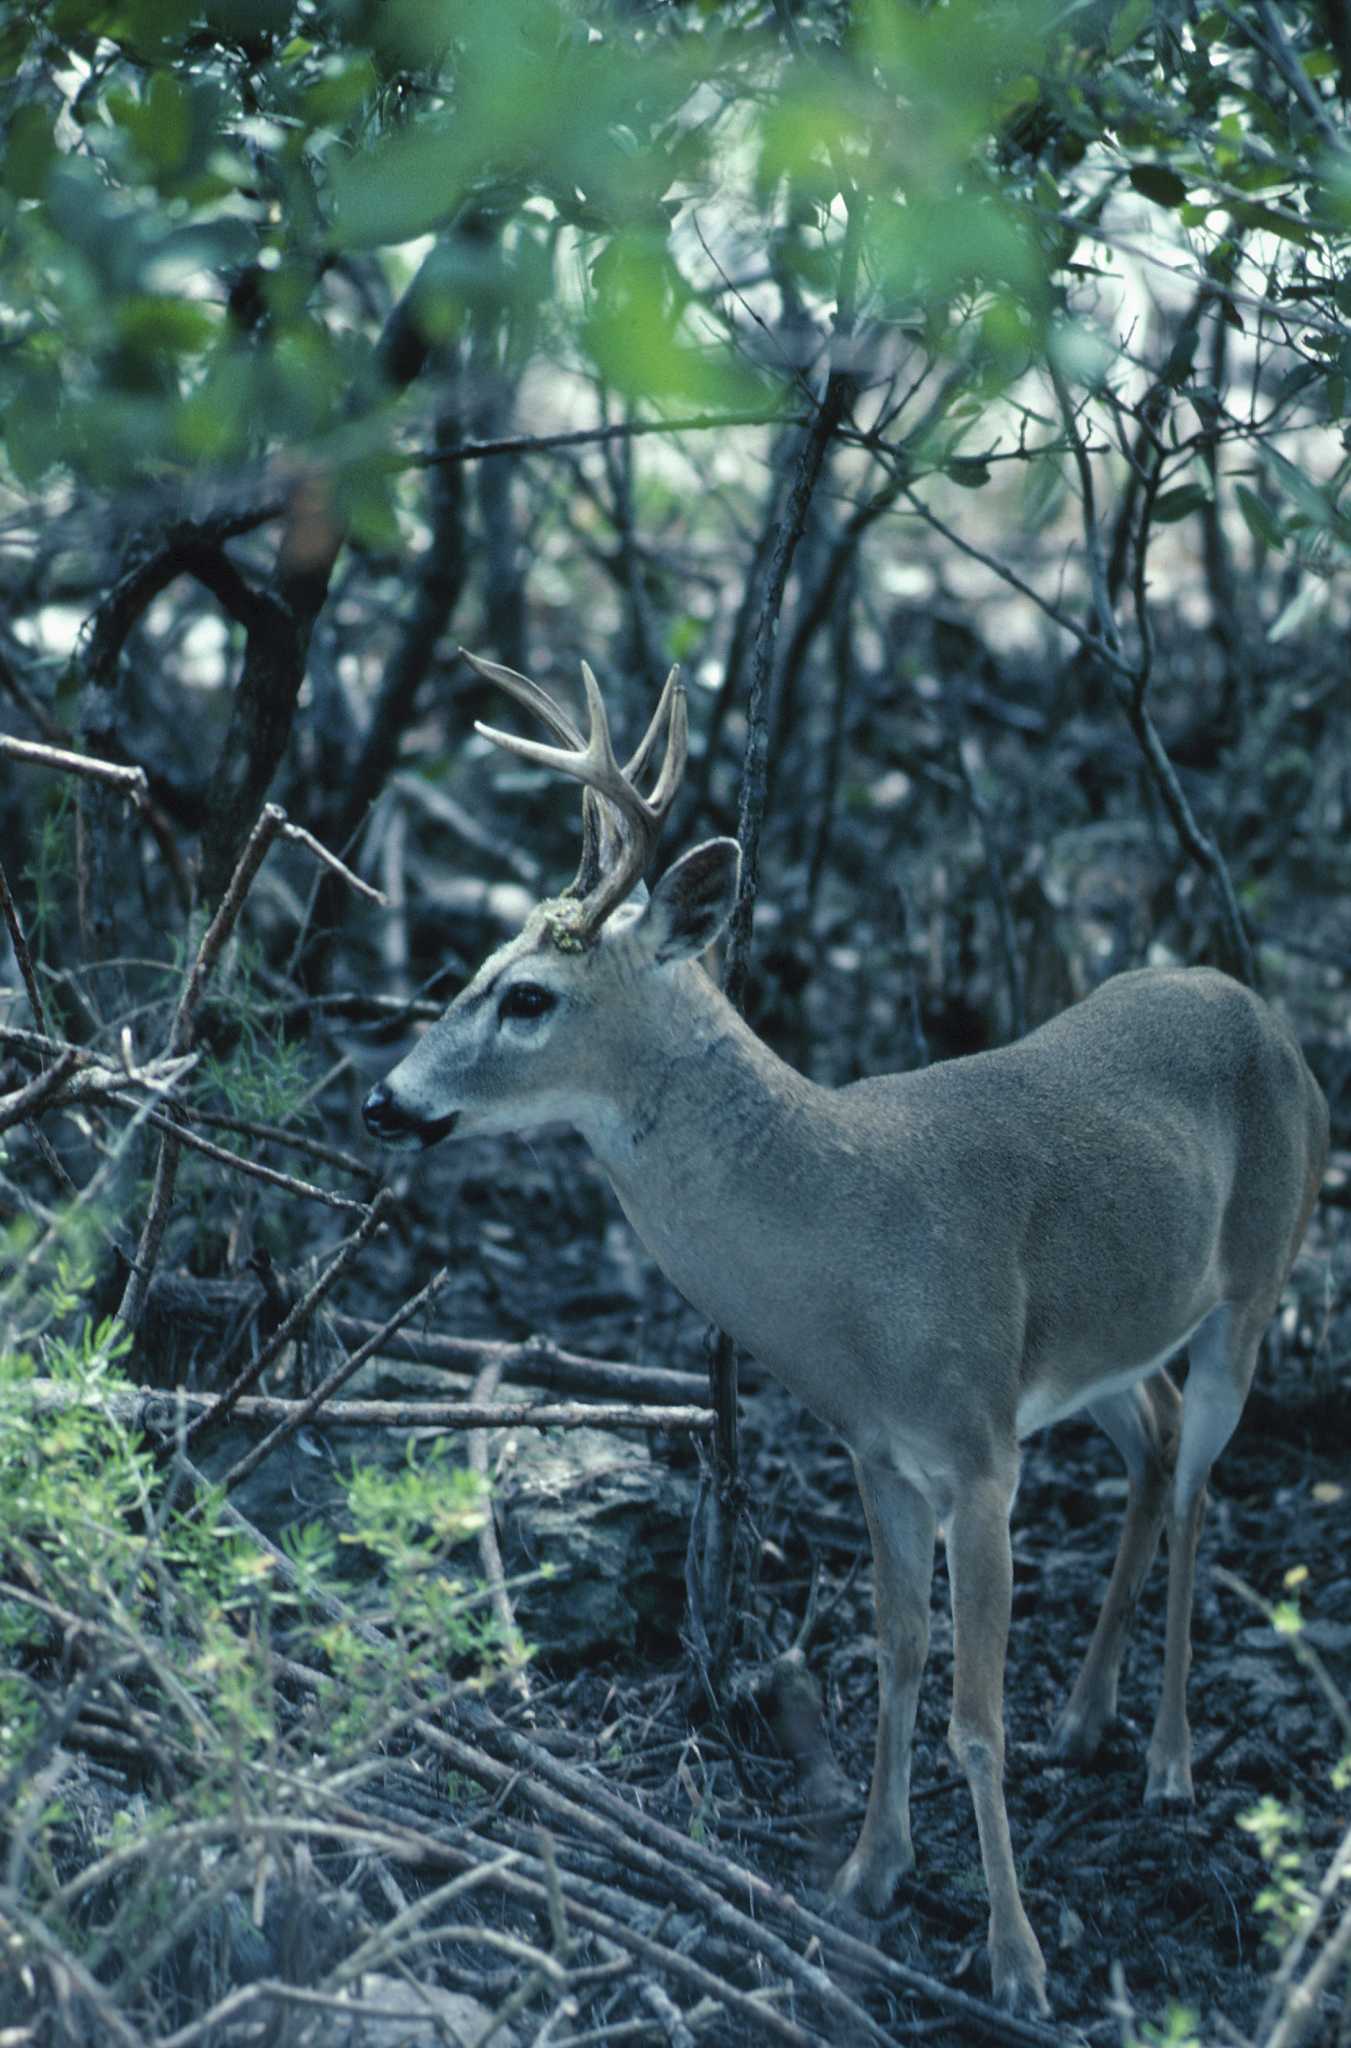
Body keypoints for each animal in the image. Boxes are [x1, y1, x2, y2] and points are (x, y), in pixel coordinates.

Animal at [363, 650, 1329, 2016]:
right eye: (477, 964)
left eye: (528, 994)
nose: (382, 1097)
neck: (849, 1238)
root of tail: (1262, 1008)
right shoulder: (880, 1450)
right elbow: (898, 1655)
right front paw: (866, 1873)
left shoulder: (980, 1450)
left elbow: (972, 1710)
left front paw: (1017, 1959)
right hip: (1102, 1343)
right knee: (1148, 1443)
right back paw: (1085, 1715)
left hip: (1256, 1275)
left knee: (1200, 1481)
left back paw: (1168, 1756)